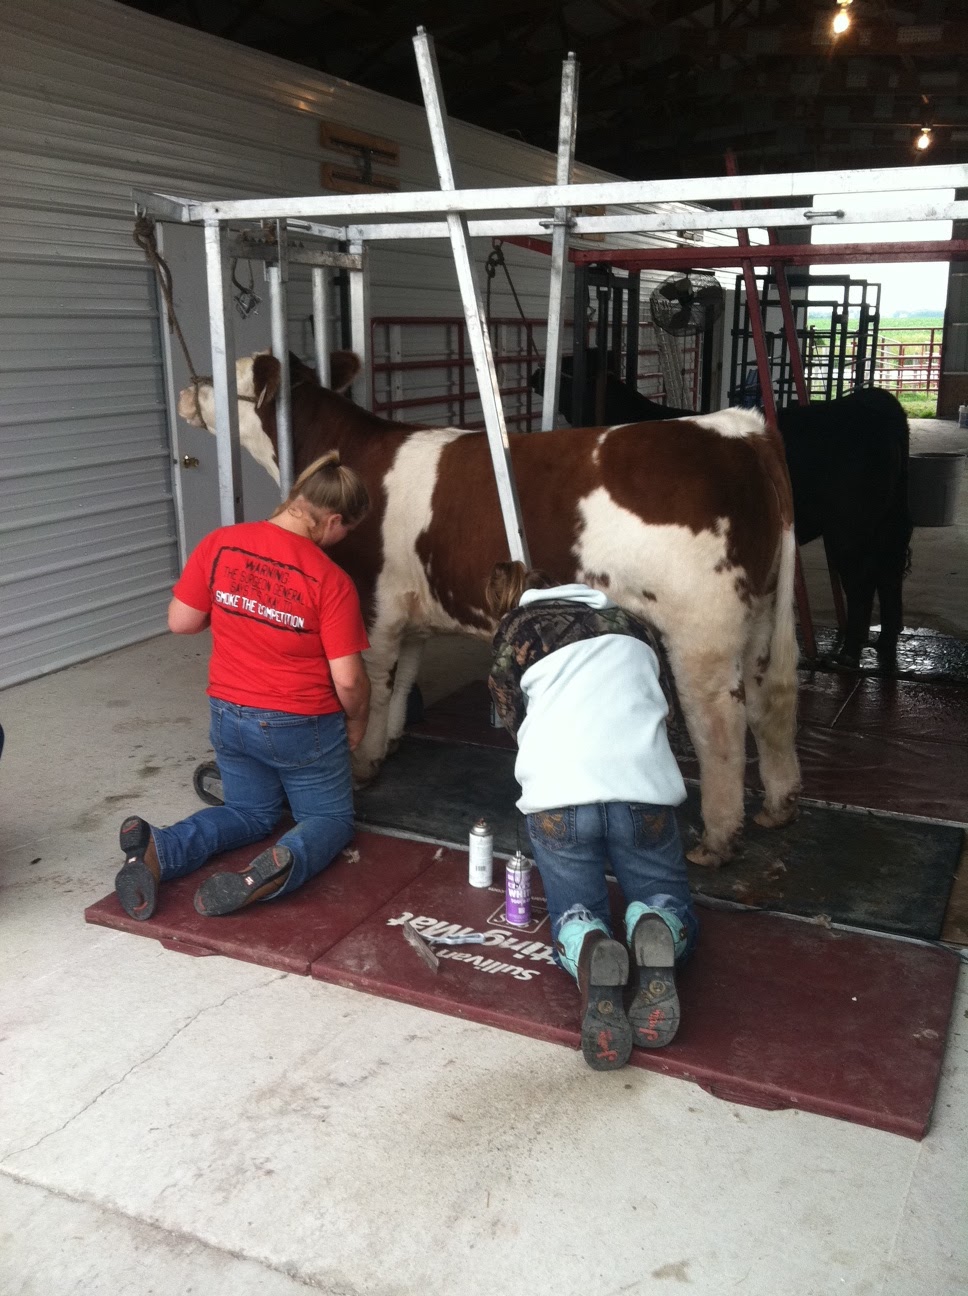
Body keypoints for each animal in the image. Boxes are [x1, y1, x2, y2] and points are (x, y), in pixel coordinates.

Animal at [177, 351, 801, 868]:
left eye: (226, 377)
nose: (188, 386)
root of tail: (738, 428)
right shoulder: (411, 605)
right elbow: (404, 677)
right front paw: (394, 740)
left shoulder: (370, 601)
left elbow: (374, 682)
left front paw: (363, 762)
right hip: (762, 615)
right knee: (772, 700)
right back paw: (779, 804)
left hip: (703, 631)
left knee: (720, 725)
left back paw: (717, 839)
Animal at [533, 352, 913, 669]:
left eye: (567, 369)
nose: (537, 373)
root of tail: (870, 403)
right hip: (889, 522)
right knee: (890, 572)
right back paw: (885, 643)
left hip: (849, 529)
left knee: (863, 578)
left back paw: (849, 653)